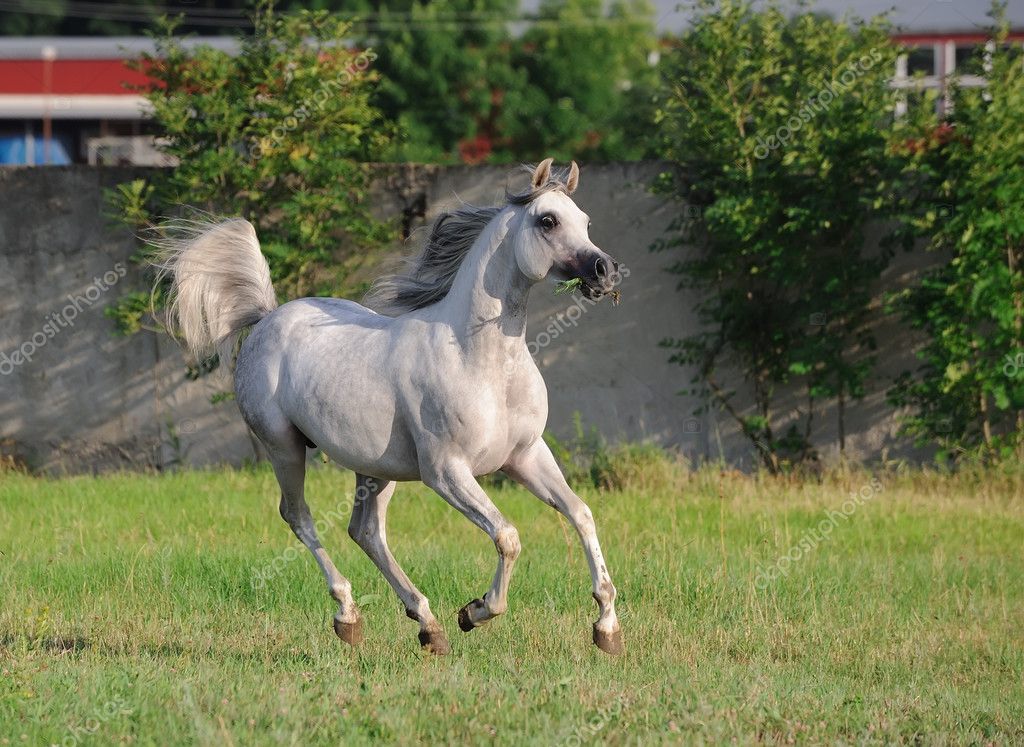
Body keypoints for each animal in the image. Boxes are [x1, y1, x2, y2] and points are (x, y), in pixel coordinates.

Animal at [155, 159, 625, 655]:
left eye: (585, 221)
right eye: (547, 220)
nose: (605, 270)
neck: (479, 360)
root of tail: (266, 318)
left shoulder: (526, 456)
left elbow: (581, 513)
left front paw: (607, 629)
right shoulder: (446, 472)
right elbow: (508, 537)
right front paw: (474, 611)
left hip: (376, 469)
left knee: (365, 532)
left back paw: (427, 625)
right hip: (284, 448)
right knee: (299, 517)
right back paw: (350, 615)